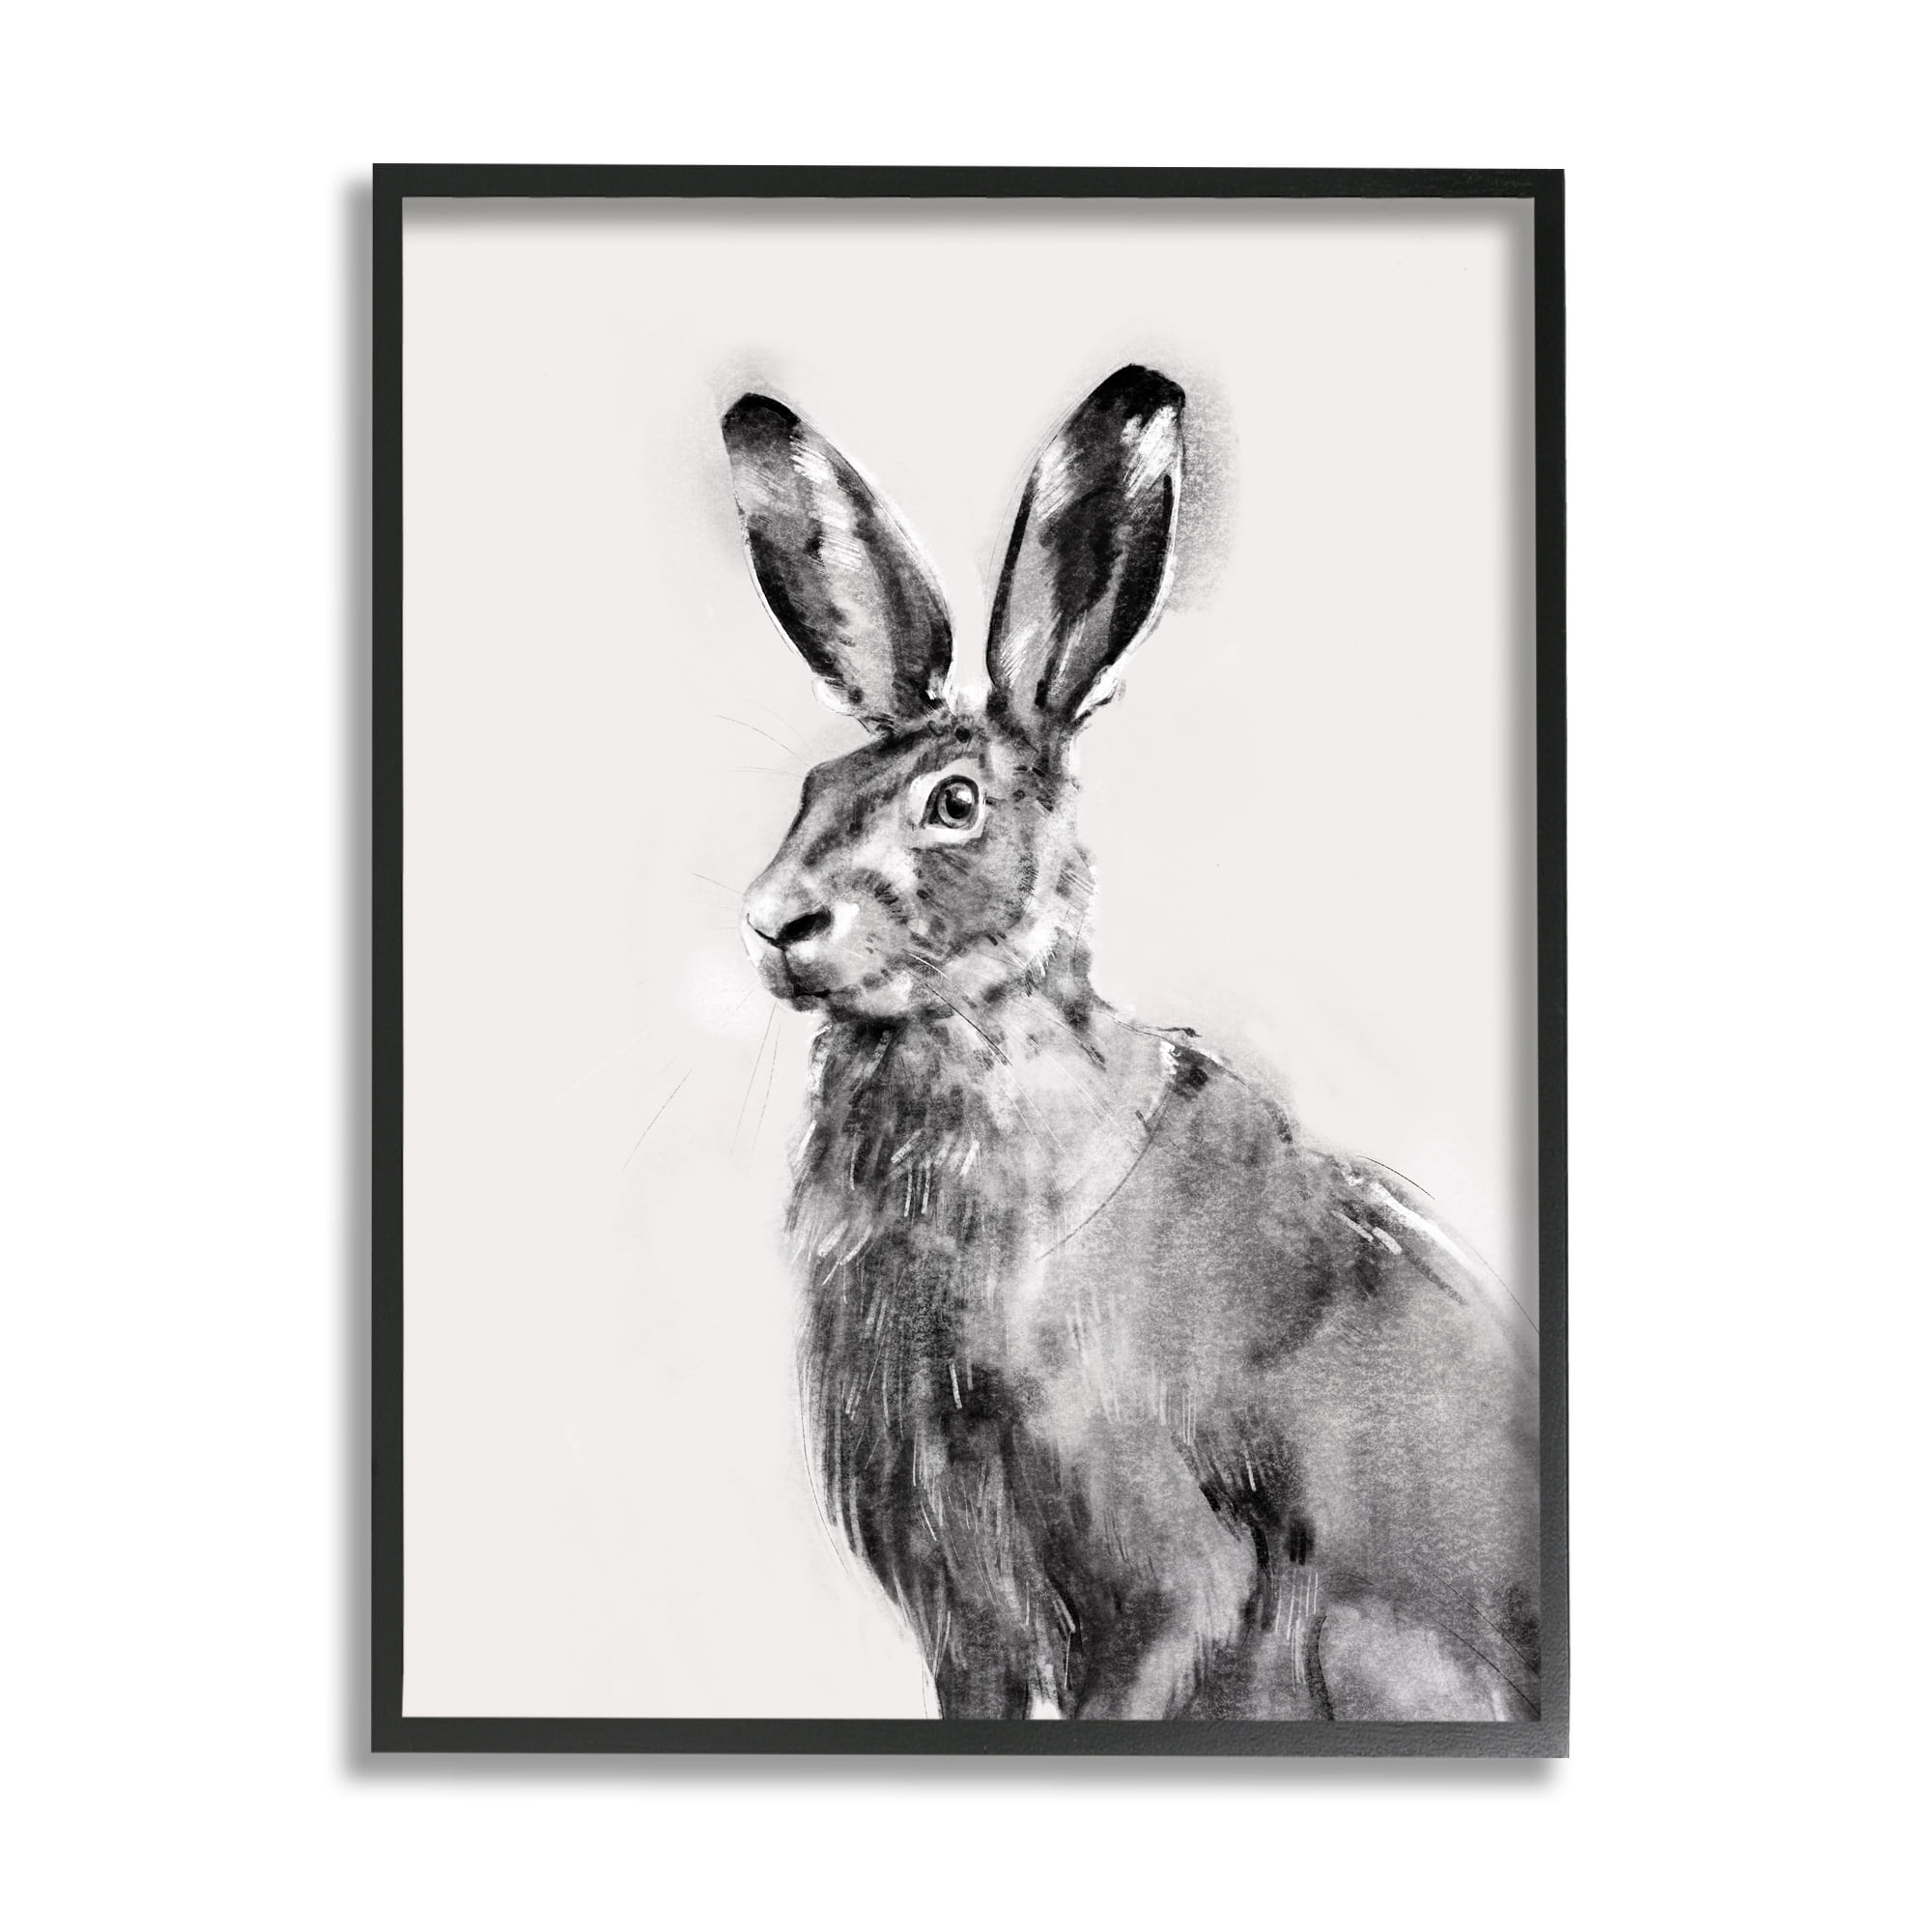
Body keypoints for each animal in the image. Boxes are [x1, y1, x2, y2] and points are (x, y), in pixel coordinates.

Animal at [720, 366, 1540, 1721]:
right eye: (812, 788)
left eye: (954, 803)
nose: (775, 921)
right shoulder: (967, 1623)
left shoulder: (1164, 1579)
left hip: (1369, 1655)